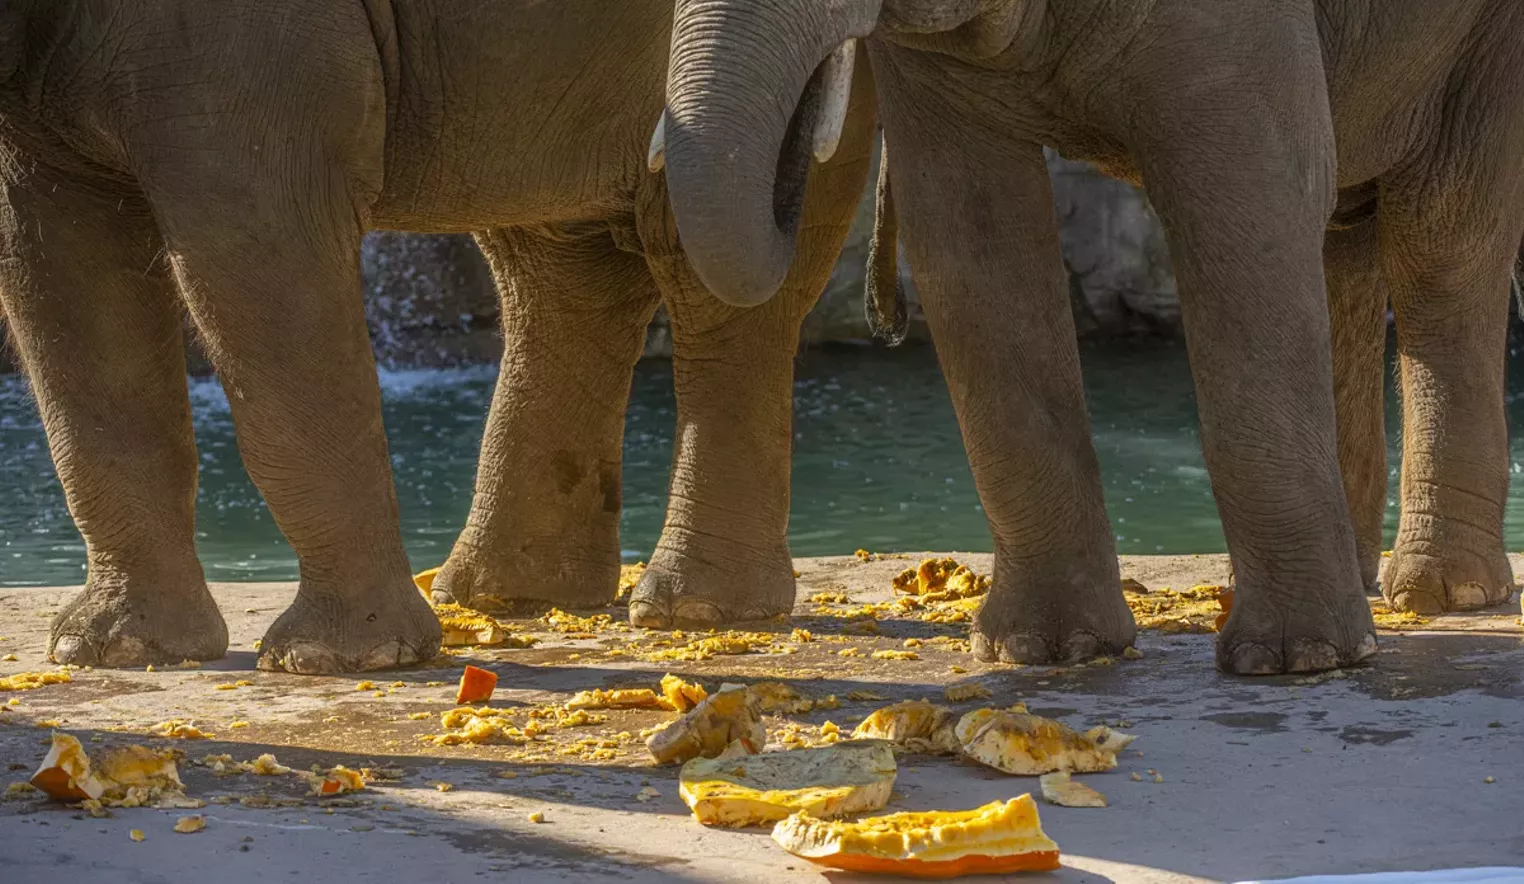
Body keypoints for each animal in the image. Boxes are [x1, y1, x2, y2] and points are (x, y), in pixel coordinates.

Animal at [0, 0, 875, 673]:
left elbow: (255, 239)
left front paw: (337, 662)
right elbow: (58, 263)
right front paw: (110, 651)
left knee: (698, 274)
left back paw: (694, 612)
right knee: (560, 264)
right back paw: (512, 596)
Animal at [657, 0, 1523, 674]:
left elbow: (1250, 202)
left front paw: (1296, 662)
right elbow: (971, 237)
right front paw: (1042, 653)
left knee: (1440, 243)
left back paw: (1440, 595)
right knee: (1344, 242)